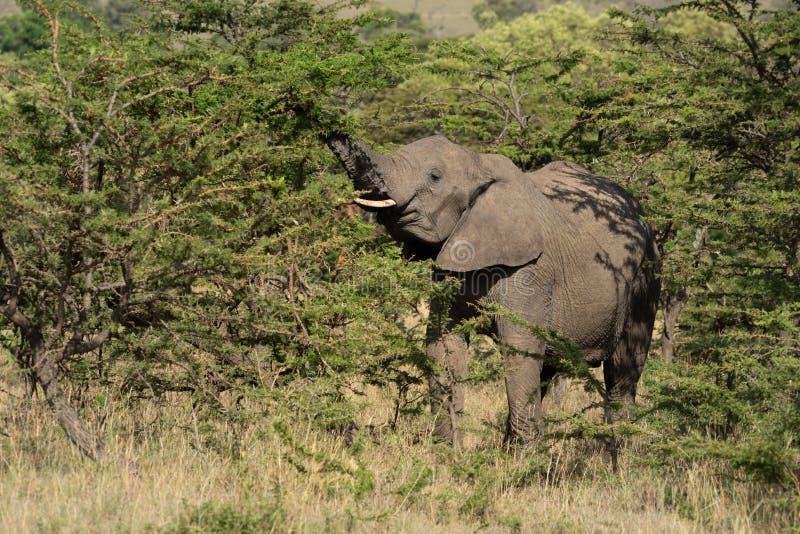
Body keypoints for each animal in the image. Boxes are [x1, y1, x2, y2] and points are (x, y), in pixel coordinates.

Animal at [326, 132, 660, 447]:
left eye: (434, 176)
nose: (327, 126)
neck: (479, 162)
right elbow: (442, 345)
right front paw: (447, 456)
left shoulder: (530, 271)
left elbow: (519, 348)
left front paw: (524, 465)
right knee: (548, 369)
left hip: (646, 274)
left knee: (622, 372)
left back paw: (618, 455)